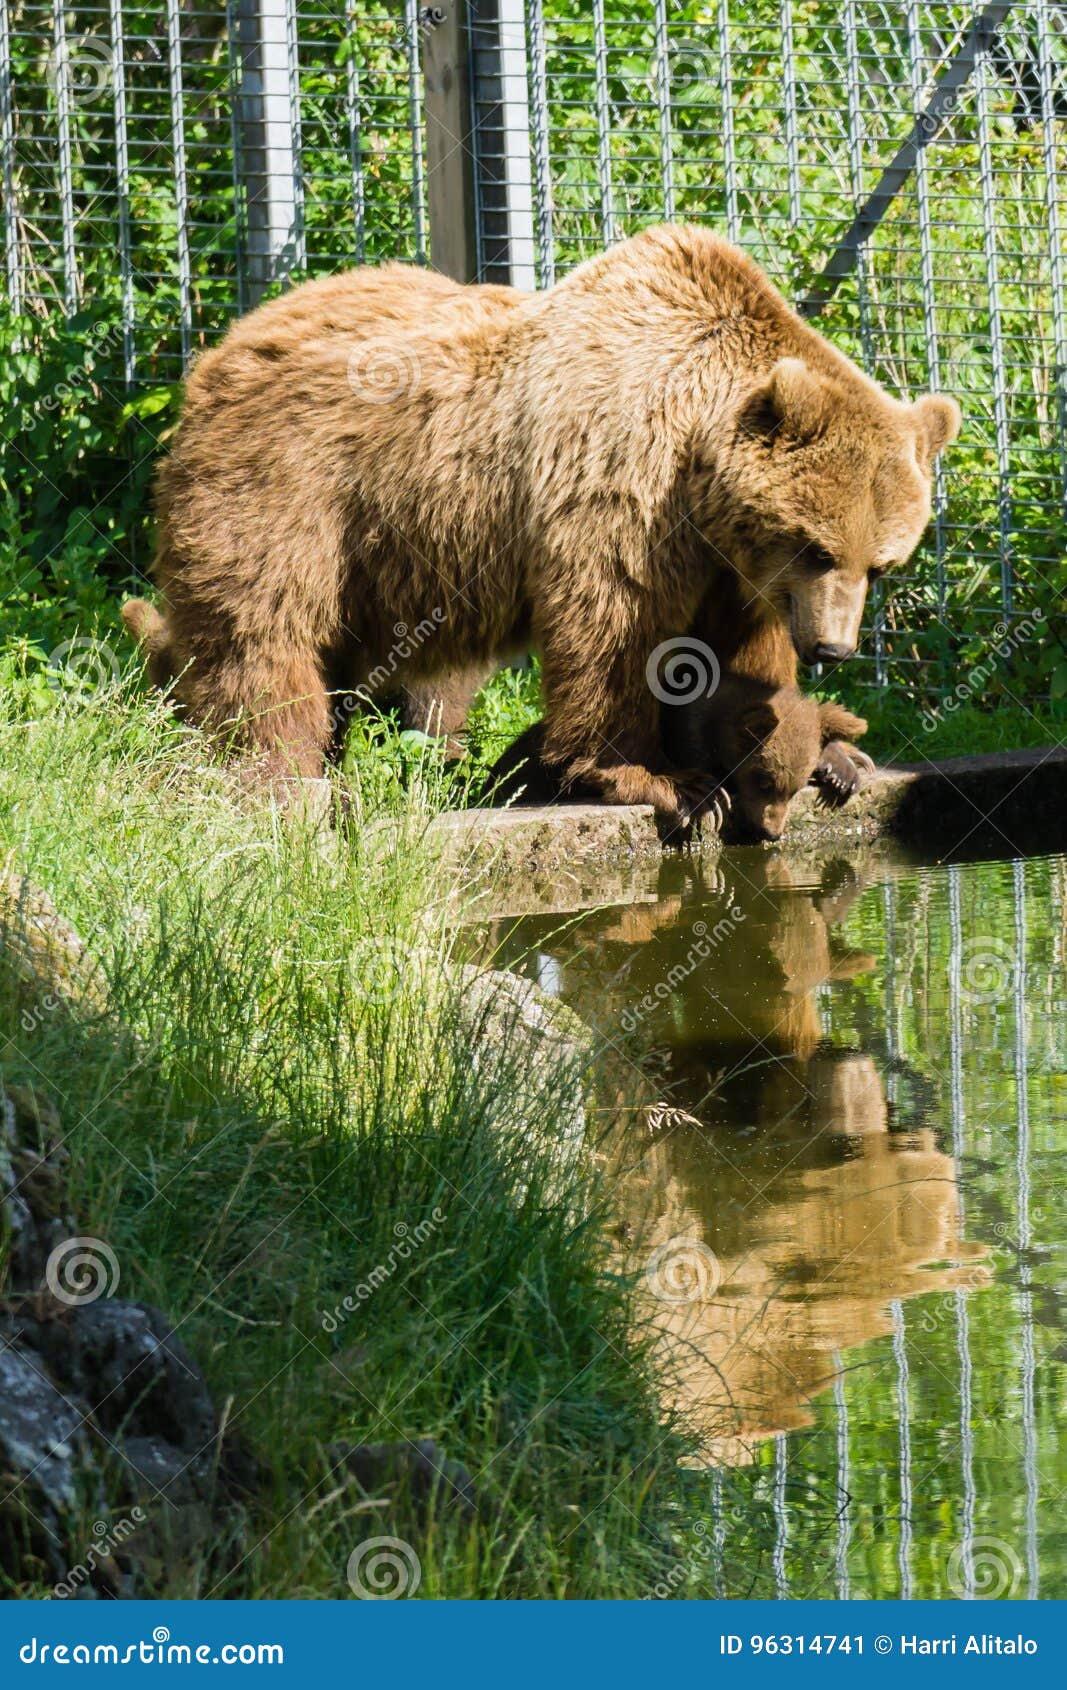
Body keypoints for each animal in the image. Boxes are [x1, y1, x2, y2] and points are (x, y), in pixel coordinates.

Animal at [125, 224, 958, 825]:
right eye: (816, 548)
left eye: (880, 564)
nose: (833, 647)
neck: (693, 455)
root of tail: (227, 344)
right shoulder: (619, 486)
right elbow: (612, 629)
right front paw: (659, 779)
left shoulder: (726, 559)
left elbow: (738, 651)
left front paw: (829, 753)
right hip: (294, 488)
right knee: (263, 632)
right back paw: (280, 777)